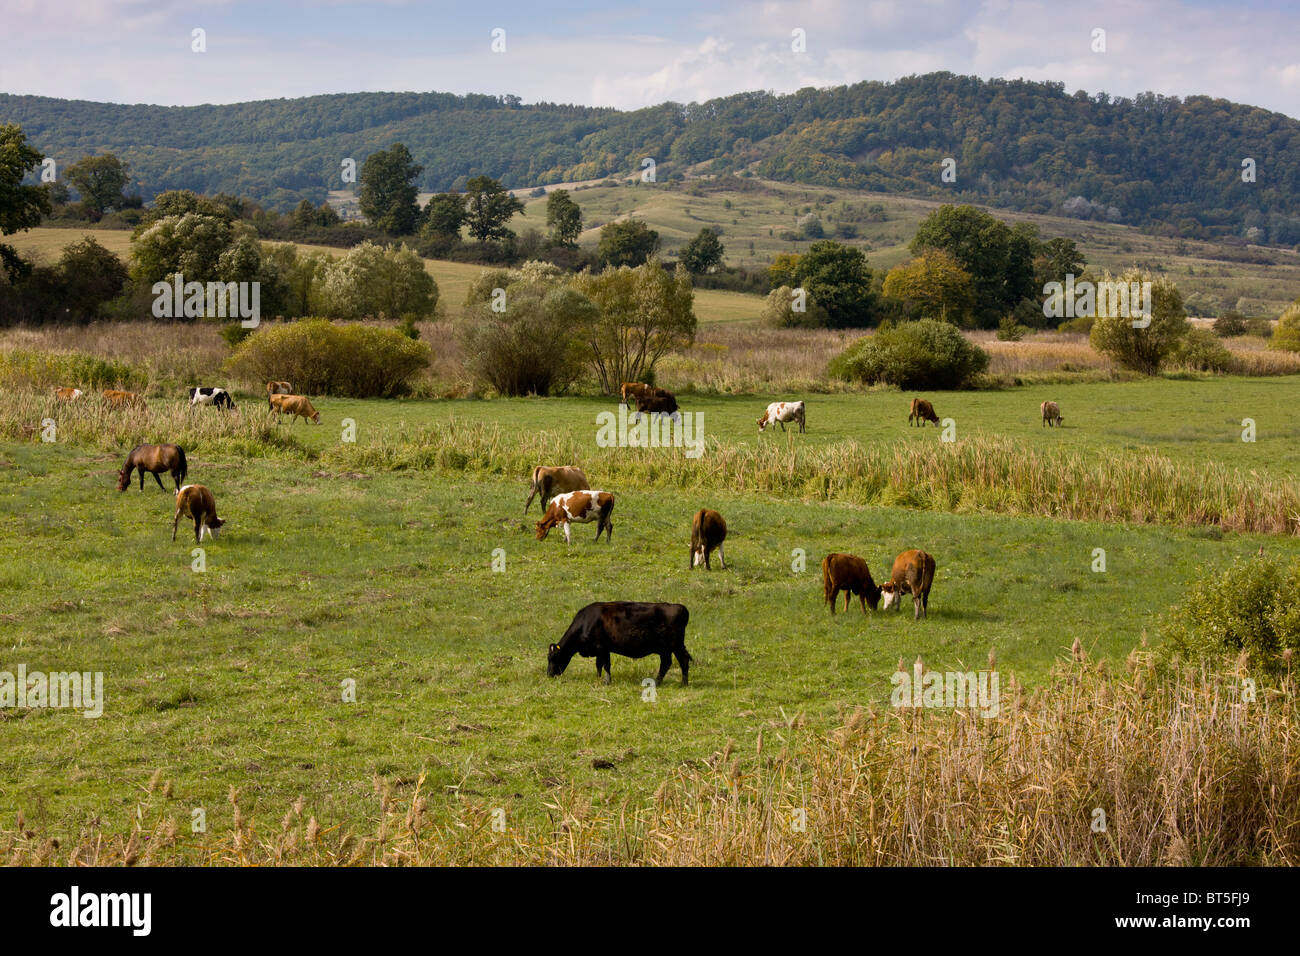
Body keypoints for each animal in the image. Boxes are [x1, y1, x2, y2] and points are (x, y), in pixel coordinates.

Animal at [547, 601, 691, 685]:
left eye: (553, 657)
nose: (549, 674)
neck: (585, 623)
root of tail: (679, 607)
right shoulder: (602, 650)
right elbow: (600, 665)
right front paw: (599, 678)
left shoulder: (602, 648)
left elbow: (605, 665)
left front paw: (606, 682)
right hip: (666, 649)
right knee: (667, 663)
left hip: (674, 645)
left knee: (681, 661)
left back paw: (681, 683)